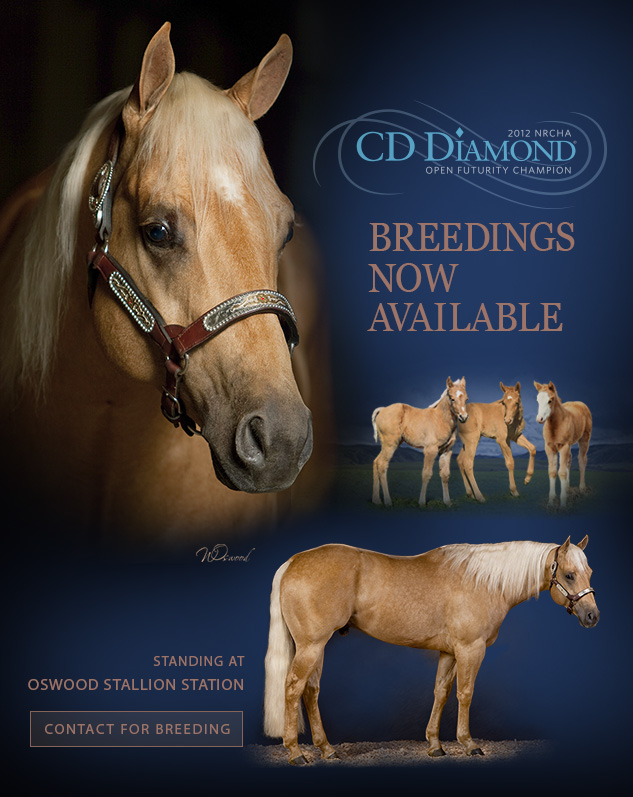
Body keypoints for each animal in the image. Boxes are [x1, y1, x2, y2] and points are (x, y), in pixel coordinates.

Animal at [263, 536, 598, 764]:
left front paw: (435, 745)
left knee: (311, 691)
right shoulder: (470, 649)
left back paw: (327, 749)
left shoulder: (449, 653)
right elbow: (465, 693)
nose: (592, 616)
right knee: (293, 688)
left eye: (590, 572)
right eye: (569, 574)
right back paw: (295, 752)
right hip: (311, 646)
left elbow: (441, 692)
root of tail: (293, 562)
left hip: (317, 647)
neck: (483, 581)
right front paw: (468, 743)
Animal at [371, 377, 469, 508]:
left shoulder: (446, 450)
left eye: (466, 399)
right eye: (452, 398)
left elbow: (445, 475)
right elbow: (426, 474)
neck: (440, 419)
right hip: (390, 444)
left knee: (376, 462)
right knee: (382, 465)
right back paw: (387, 501)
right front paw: (422, 502)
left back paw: (376, 500)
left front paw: (447, 502)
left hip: (390, 444)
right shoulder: (430, 450)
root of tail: (382, 410)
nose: (464, 417)